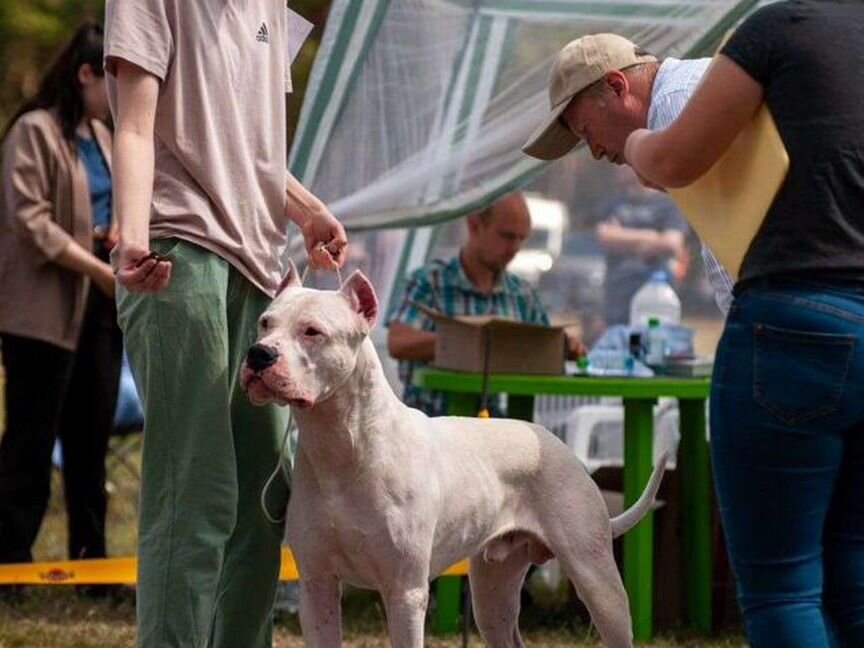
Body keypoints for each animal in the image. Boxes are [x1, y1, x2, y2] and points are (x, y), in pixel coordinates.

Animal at [243, 264, 668, 648]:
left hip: (596, 579)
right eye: (265, 323)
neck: (344, 445)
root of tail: (553, 442)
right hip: (493, 589)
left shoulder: (405, 592)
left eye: (312, 331)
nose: (258, 354)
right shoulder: (316, 587)